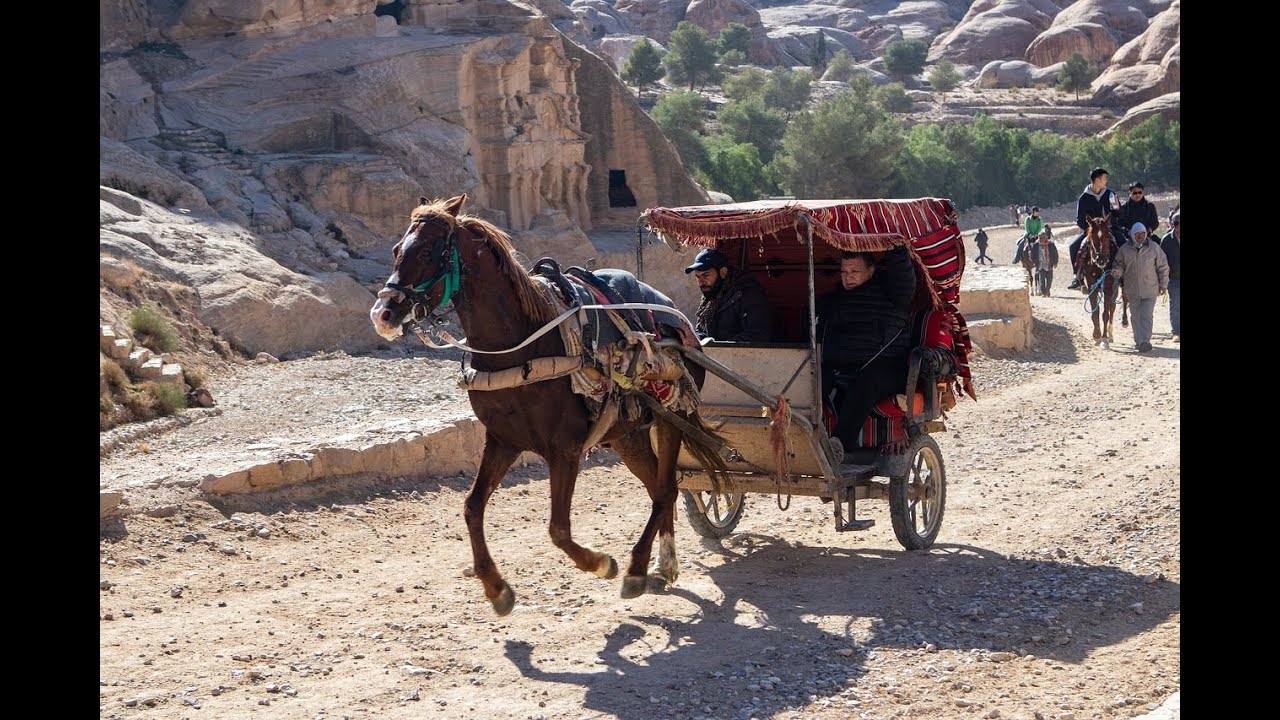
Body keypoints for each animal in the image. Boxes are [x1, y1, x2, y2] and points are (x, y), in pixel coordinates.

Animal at [369, 194, 729, 616]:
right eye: (396, 250)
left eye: (427, 251)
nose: (383, 314)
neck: (523, 344)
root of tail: (676, 316)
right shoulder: (503, 440)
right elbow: (472, 507)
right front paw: (496, 588)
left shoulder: (565, 448)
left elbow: (558, 529)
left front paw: (601, 563)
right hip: (626, 435)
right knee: (659, 488)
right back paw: (659, 565)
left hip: (670, 418)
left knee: (667, 488)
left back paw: (640, 566)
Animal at [1078, 214, 1120, 347]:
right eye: (1092, 237)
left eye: (1107, 235)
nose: (1101, 259)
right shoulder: (1093, 286)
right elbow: (1095, 312)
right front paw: (1096, 335)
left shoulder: (1108, 287)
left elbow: (1105, 313)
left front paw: (1104, 338)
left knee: (1112, 308)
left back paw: (1110, 335)